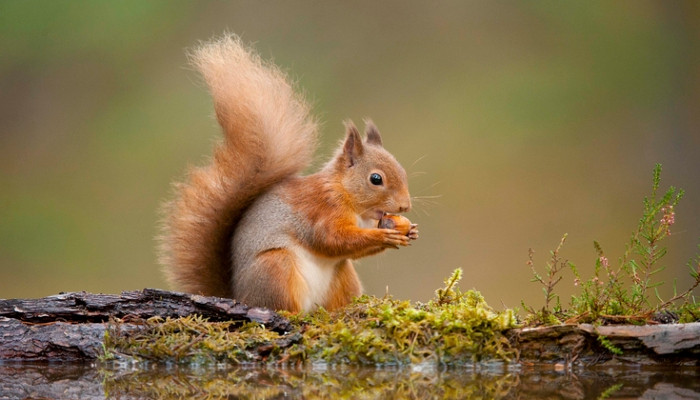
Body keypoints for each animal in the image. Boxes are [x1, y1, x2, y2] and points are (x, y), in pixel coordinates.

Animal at [158, 35, 418, 312]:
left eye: (402, 169)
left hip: (342, 275)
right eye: (376, 179)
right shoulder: (321, 210)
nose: (404, 206)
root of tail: (241, 296)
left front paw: (410, 231)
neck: (345, 194)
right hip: (276, 267)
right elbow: (331, 239)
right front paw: (384, 235)